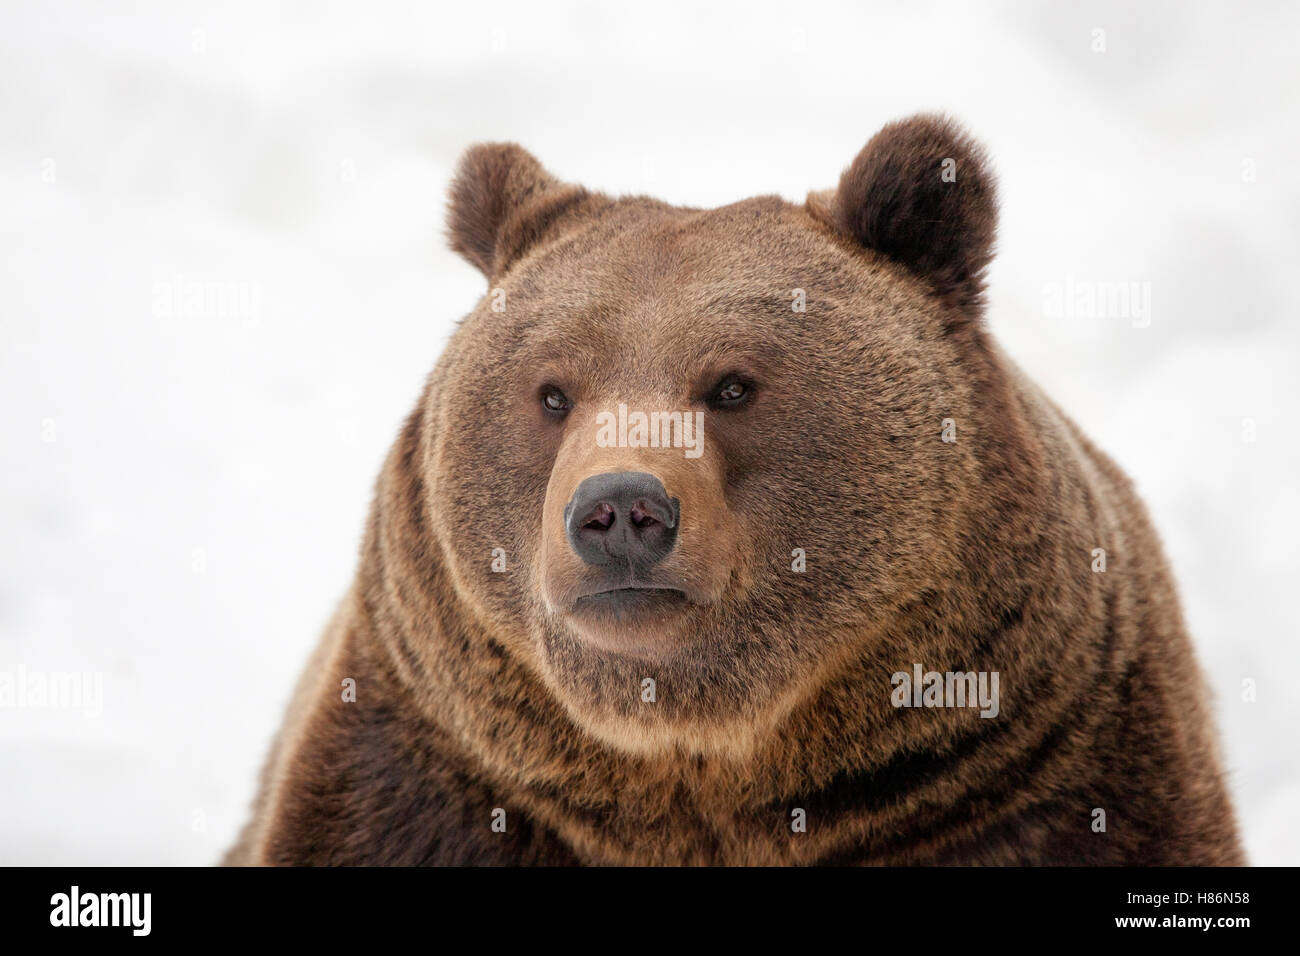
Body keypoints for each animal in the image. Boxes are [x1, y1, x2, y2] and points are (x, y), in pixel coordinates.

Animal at [224, 114, 1244, 866]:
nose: (620, 512)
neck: (708, 764)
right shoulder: (431, 783)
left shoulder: (1035, 777)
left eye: (732, 386)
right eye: (552, 392)